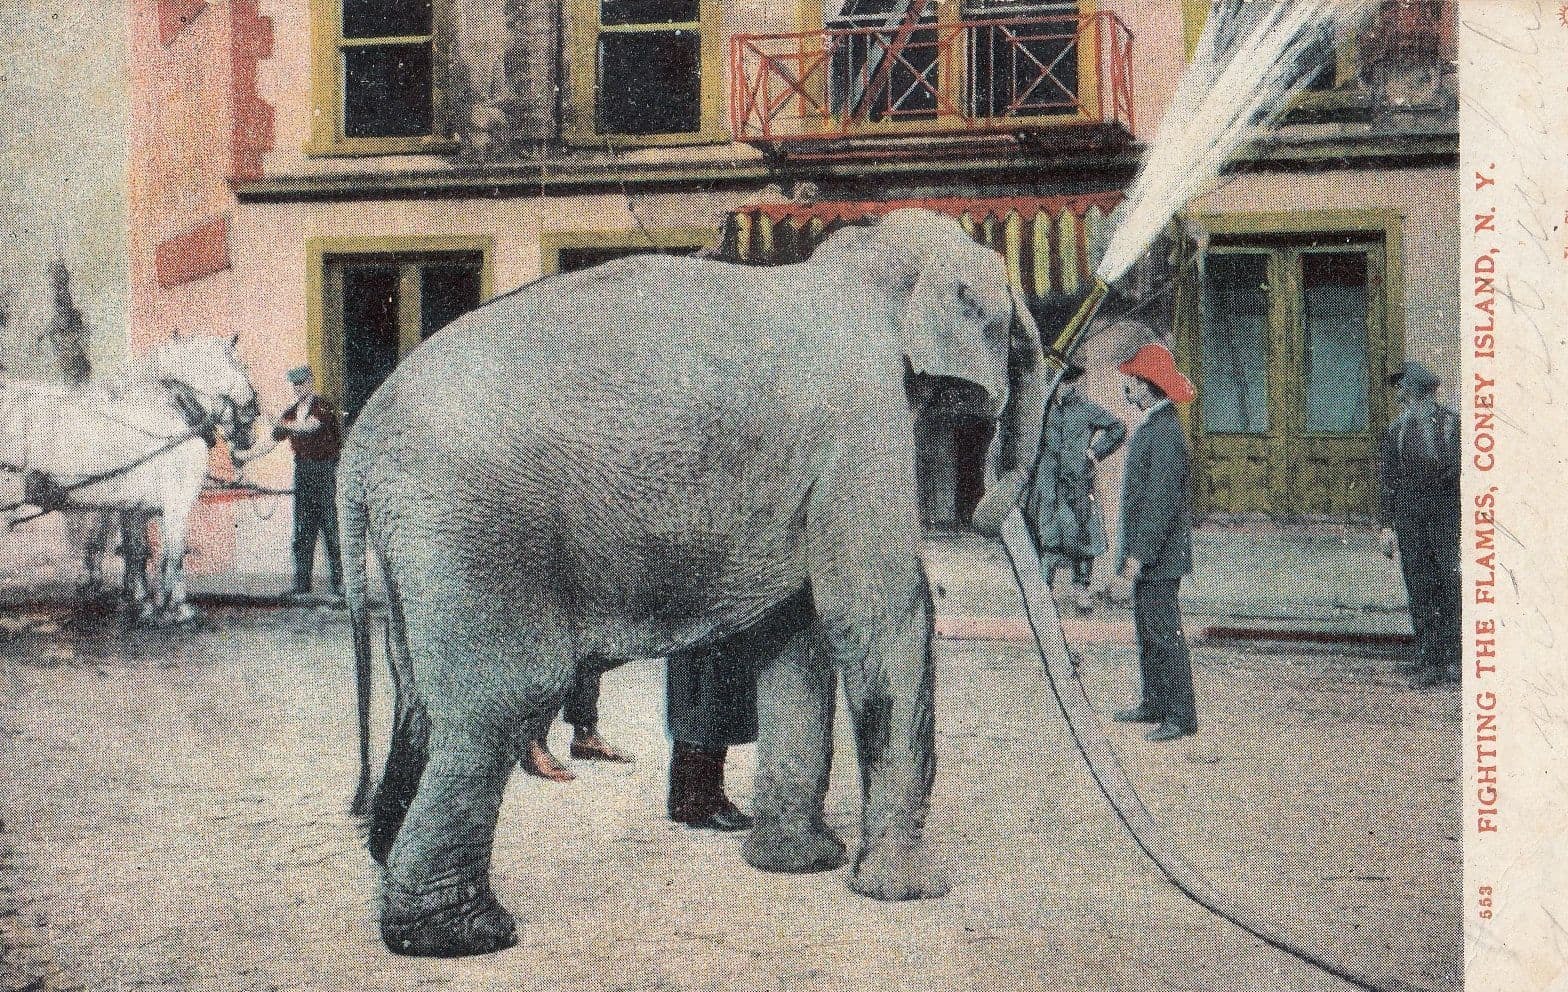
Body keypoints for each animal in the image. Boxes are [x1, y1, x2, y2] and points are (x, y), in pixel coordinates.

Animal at [339, 208, 1047, 957]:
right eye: (1018, 340)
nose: (982, 513)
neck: (856, 263)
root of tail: (363, 438)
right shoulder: (863, 425)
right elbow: (878, 616)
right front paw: (908, 893)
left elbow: (796, 637)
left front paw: (796, 866)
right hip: (472, 529)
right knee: (499, 703)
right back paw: (465, 935)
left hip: (421, 543)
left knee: (417, 701)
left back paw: (387, 864)